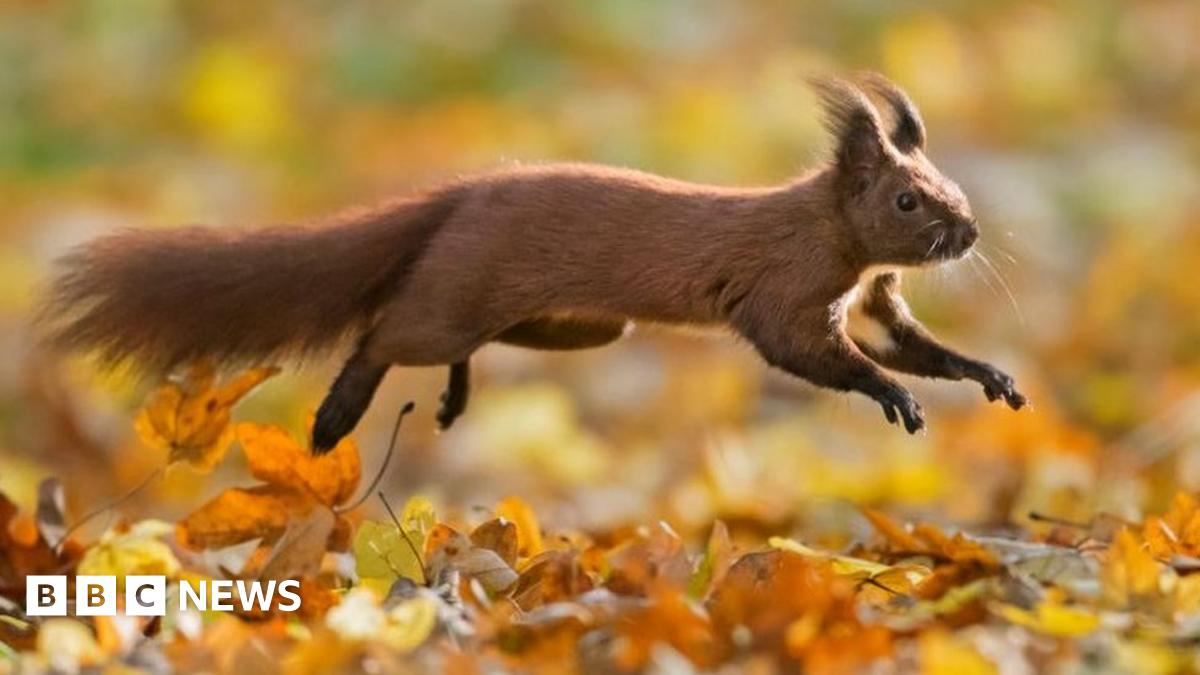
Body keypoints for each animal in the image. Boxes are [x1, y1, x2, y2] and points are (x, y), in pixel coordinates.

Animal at [41, 73, 1026, 454]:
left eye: (945, 182)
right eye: (907, 201)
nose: (969, 233)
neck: (831, 235)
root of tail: (462, 196)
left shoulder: (872, 296)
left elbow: (911, 345)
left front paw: (988, 376)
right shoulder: (785, 287)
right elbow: (808, 351)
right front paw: (892, 397)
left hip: (577, 325)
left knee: (463, 341)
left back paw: (454, 395)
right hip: (466, 294)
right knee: (385, 330)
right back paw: (336, 415)